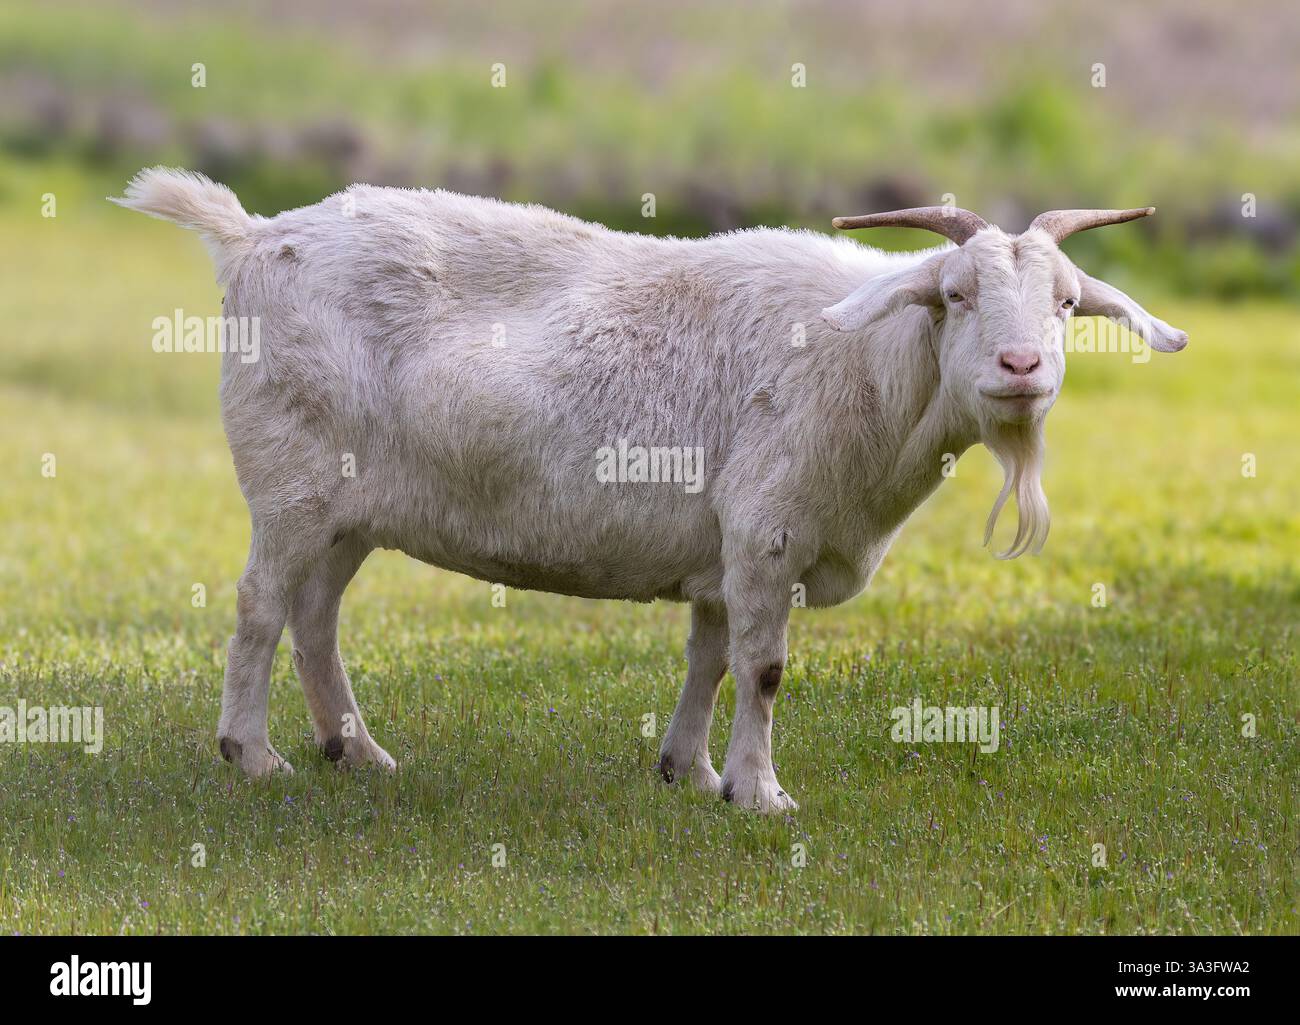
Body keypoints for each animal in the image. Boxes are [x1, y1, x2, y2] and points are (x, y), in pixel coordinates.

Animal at [112, 169, 1187, 811]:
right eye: (955, 295)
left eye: (1067, 304)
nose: (1020, 367)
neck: (869, 364)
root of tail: (253, 237)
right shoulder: (766, 531)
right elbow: (763, 668)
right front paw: (761, 794)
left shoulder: (724, 551)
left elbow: (708, 660)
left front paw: (690, 771)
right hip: (290, 478)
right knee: (260, 602)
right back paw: (251, 753)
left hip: (348, 508)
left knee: (315, 613)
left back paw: (356, 751)